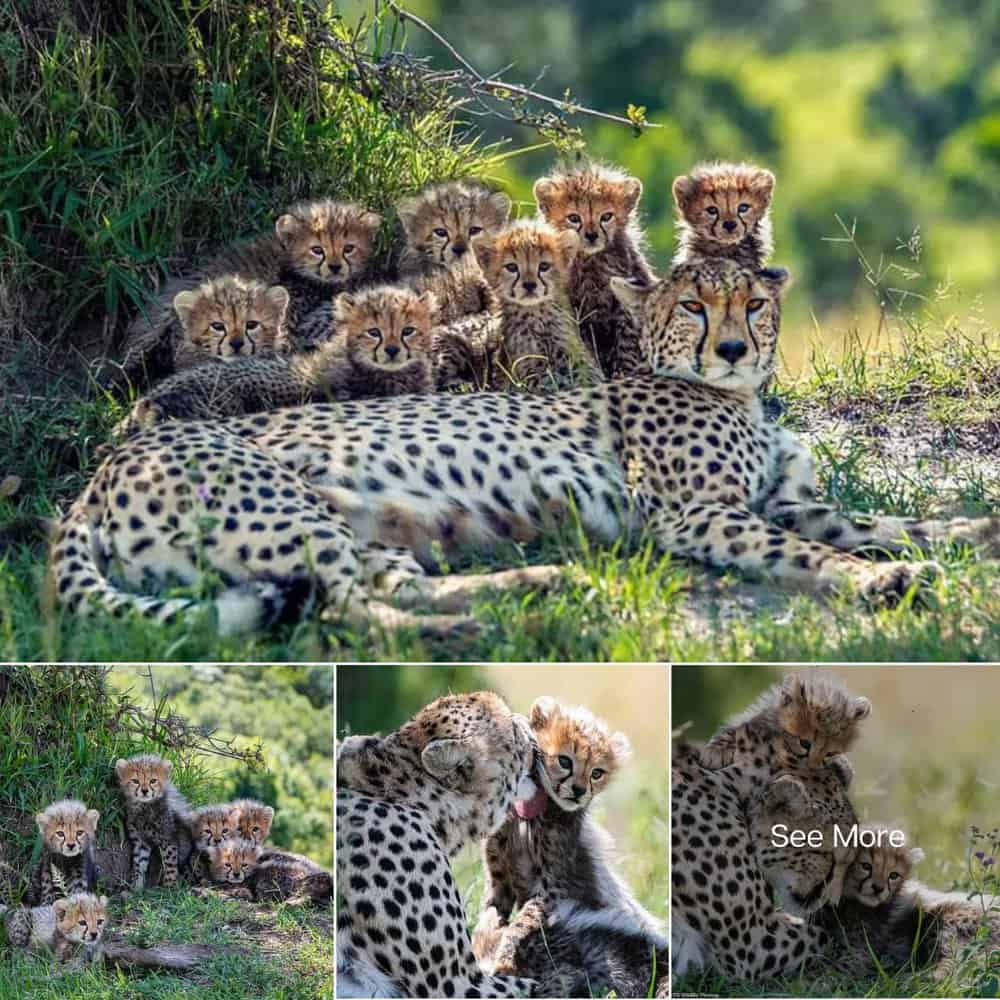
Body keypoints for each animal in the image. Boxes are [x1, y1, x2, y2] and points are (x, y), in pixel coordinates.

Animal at [48, 256, 1000, 634]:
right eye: (694, 307)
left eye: (753, 307)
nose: (732, 349)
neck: (735, 396)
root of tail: (96, 475)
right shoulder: (697, 516)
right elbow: (808, 551)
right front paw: (878, 582)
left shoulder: (784, 497)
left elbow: (887, 522)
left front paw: (969, 535)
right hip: (282, 508)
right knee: (343, 613)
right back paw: (470, 630)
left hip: (347, 526)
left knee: (381, 586)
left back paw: (536, 589)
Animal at [472, 696, 666, 997]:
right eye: (564, 761)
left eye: (597, 773)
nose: (578, 791)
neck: (532, 811)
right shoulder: (498, 882)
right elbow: (489, 915)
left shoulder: (551, 891)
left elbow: (520, 924)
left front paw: (503, 956)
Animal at [479, 220, 601, 390]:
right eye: (511, 267)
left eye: (544, 266)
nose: (530, 285)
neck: (535, 314)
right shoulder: (526, 368)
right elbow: (544, 378)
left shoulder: (572, 352)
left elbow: (587, 371)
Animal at [533, 162, 655, 378]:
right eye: (574, 218)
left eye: (606, 216)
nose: (591, 236)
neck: (589, 261)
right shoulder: (575, 310)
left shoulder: (623, 306)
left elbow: (627, 345)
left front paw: (625, 373)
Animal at [699, 672, 871, 788]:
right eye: (804, 743)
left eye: (830, 753)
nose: (812, 769)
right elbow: (732, 731)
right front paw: (715, 751)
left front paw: (844, 768)